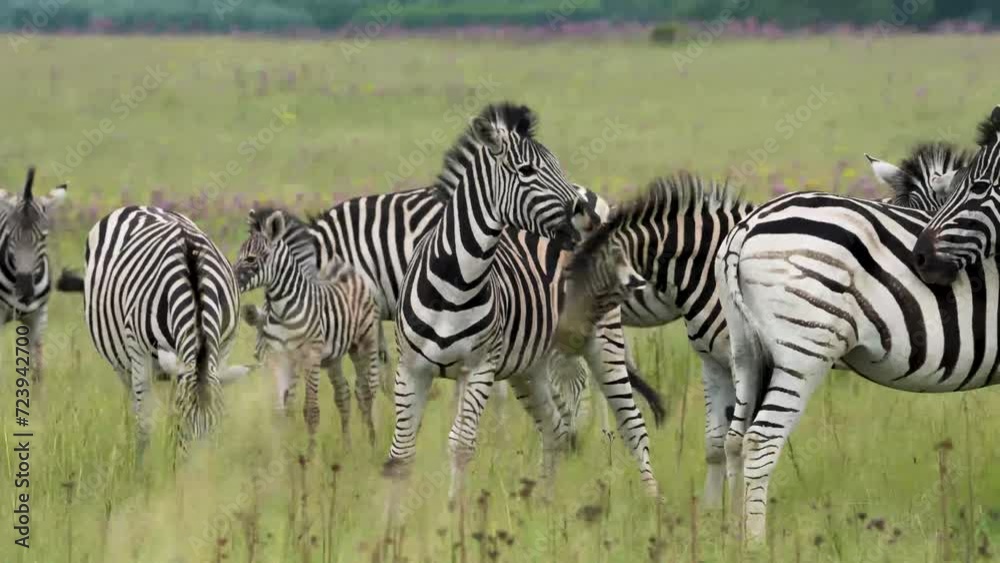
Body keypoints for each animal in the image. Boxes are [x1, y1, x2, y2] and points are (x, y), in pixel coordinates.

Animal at [68, 206, 241, 458]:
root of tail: (137, 206)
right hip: (123, 363)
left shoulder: (223, 347)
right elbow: (145, 422)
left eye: (218, 422)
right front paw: (144, 463)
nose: (200, 468)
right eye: (183, 421)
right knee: (134, 402)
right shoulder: (139, 352)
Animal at [233, 209, 381, 449]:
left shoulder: (310, 356)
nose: (230, 278)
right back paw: (348, 447)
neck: (282, 310)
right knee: (346, 393)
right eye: (240, 255)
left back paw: (372, 442)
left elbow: (311, 410)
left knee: (369, 390)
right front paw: (283, 449)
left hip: (365, 342)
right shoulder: (281, 357)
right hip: (337, 355)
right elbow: (282, 409)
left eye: (251, 258)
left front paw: (310, 454)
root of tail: (343, 270)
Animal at [388, 102, 660, 502]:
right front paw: (395, 517)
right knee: (555, 428)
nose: (586, 219)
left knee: (634, 427)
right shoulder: (411, 369)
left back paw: (654, 501)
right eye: (527, 171)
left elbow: (461, 444)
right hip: (530, 366)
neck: (457, 281)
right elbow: (401, 453)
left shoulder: (479, 367)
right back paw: (545, 504)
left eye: (557, 164)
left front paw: (455, 511)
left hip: (604, 341)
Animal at [555, 142, 970, 509]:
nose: (566, 333)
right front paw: (715, 513)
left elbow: (739, 437)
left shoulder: (746, 361)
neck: (704, 266)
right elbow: (718, 443)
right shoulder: (716, 362)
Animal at [714, 107, 1000, 542]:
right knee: (761, 440)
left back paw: (731, 538)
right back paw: (756, 544)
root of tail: (744, 230)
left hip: (745, 348)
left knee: (734, 440)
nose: (924, 261)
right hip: (804, 351)